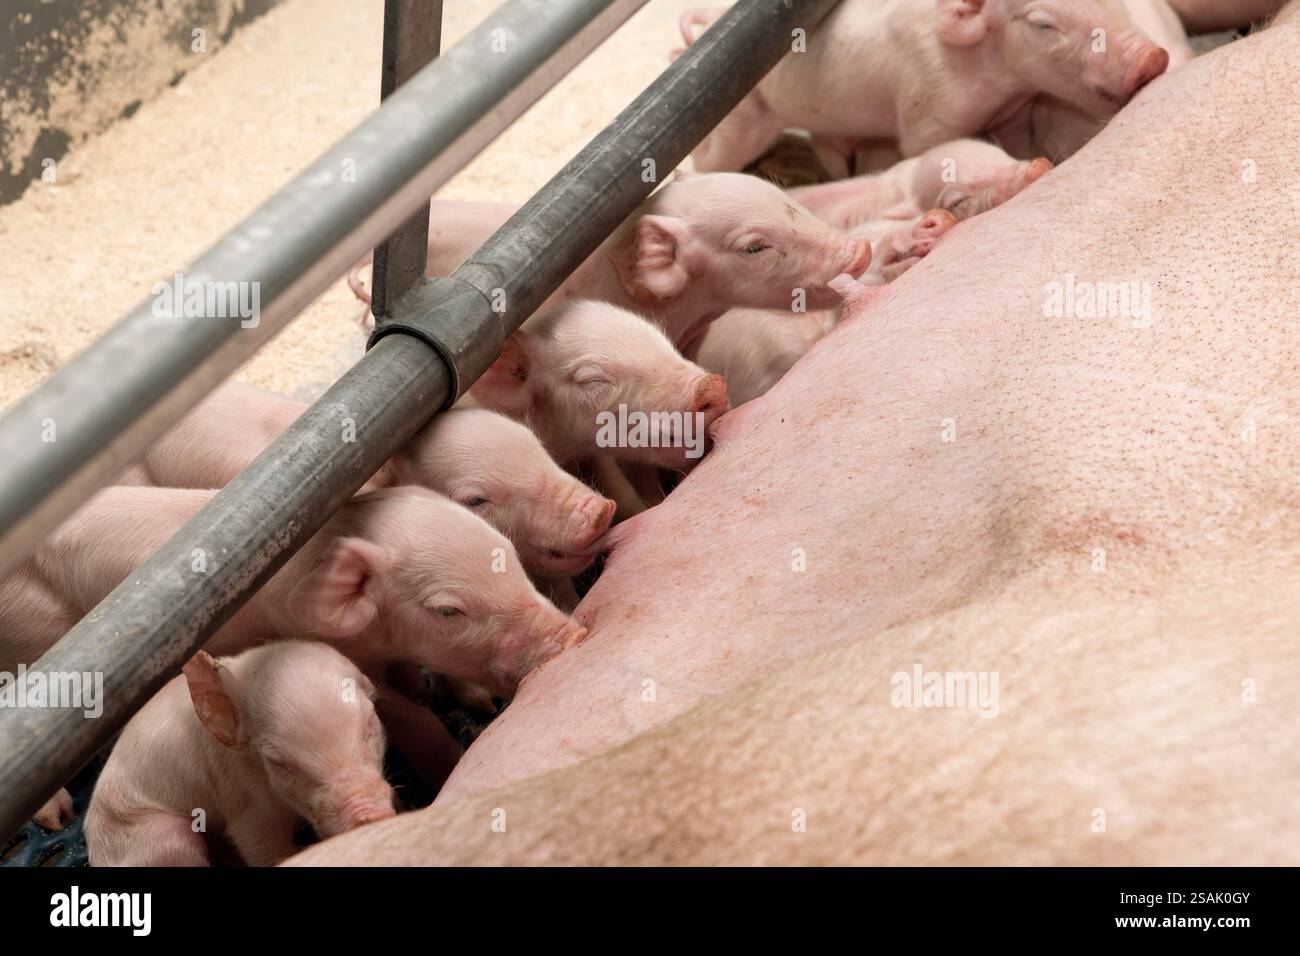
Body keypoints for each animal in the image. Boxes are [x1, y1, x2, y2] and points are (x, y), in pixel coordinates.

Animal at [86, 642, 394, 866]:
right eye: (279, 763)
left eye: (371, 724)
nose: (369, 815)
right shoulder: (246, 805)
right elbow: (261, 848)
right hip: (163, 839)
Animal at [680, 0, 1170, 172]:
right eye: (1043, 23)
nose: (1152, 58)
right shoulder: (928, 113)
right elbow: (923, 149)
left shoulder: (1011, 113)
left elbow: (1015, 144)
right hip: (741, 120)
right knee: (710, 162)